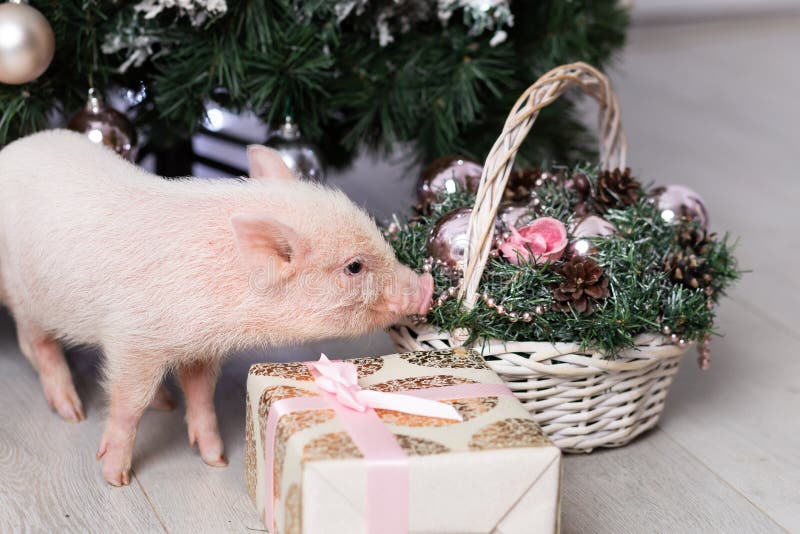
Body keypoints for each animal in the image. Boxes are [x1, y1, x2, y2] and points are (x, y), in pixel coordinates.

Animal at [0, 129, 433, 486]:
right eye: (354, 266)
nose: (426, 286)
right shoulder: (133, 340)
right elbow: (128, 406)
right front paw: (114, 478)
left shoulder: (201, 347)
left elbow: (201, 394)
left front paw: (216, 460)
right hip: (25, 292)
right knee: (36, 342)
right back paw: (71, 412)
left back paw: (163, 402)